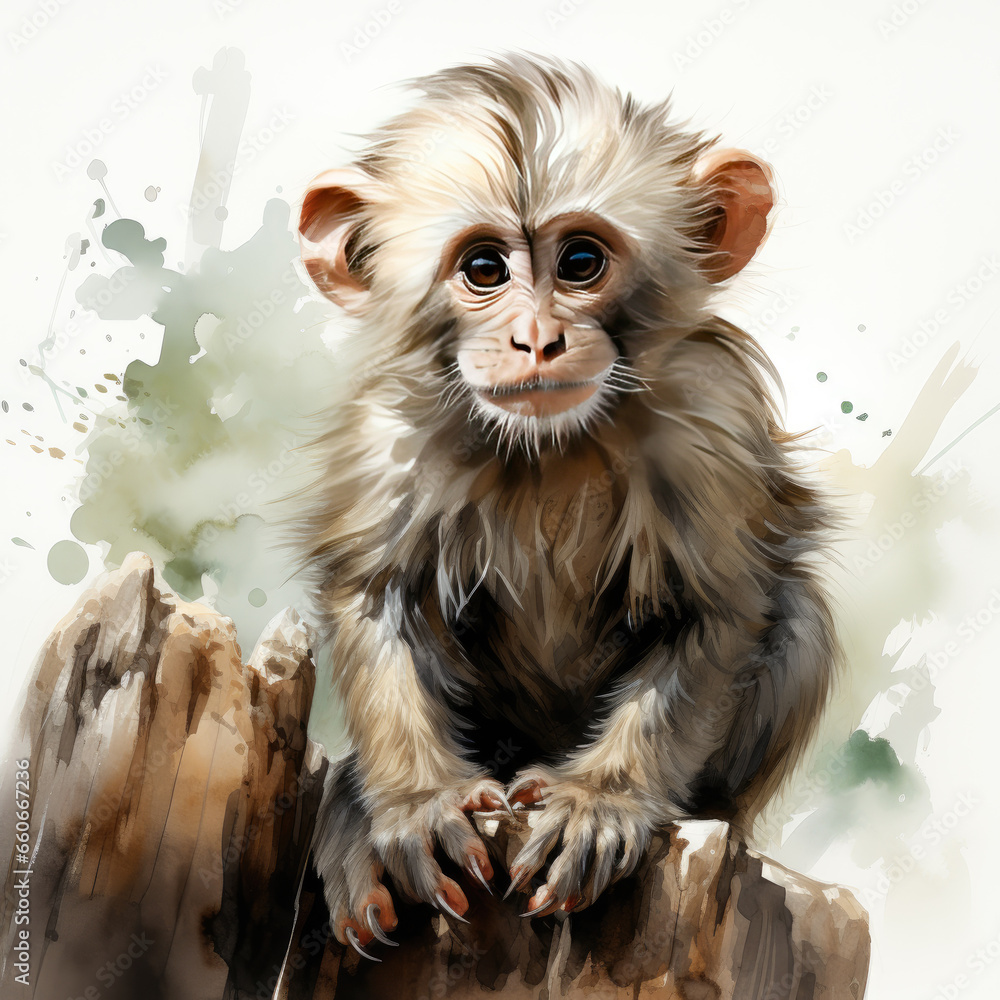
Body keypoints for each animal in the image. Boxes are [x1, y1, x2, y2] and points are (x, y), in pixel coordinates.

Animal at [297, 54, 836, 960]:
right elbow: (377, 595)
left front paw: (602, 803)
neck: (550, 449)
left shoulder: (710, 419)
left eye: (582, 261)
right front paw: (416, 805)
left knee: (799, 614)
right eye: (484, 270)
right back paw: (350, 815)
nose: (538, 339)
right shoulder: (388, 430)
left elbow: (720, 609)